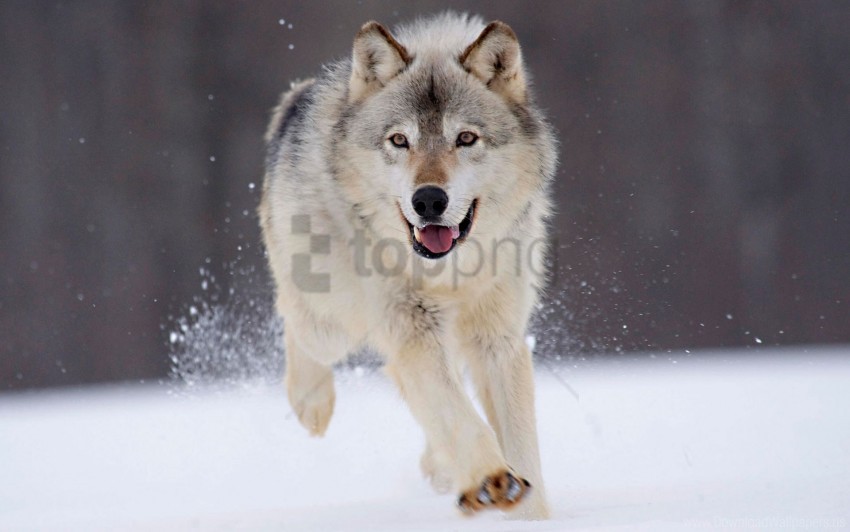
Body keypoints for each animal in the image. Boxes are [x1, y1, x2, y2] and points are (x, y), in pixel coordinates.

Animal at [259, 12, 556, 519]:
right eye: (399, 140)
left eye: (466, 138)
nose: (429, 200)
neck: (450, 274)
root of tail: (296, 98)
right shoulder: (412, 330)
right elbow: (460, 416)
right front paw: (491, 479)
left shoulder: (498, 340)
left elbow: (520, 445)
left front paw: (527, 512)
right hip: (332, 322)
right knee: (297, 325)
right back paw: (312, 405)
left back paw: (441, 468)